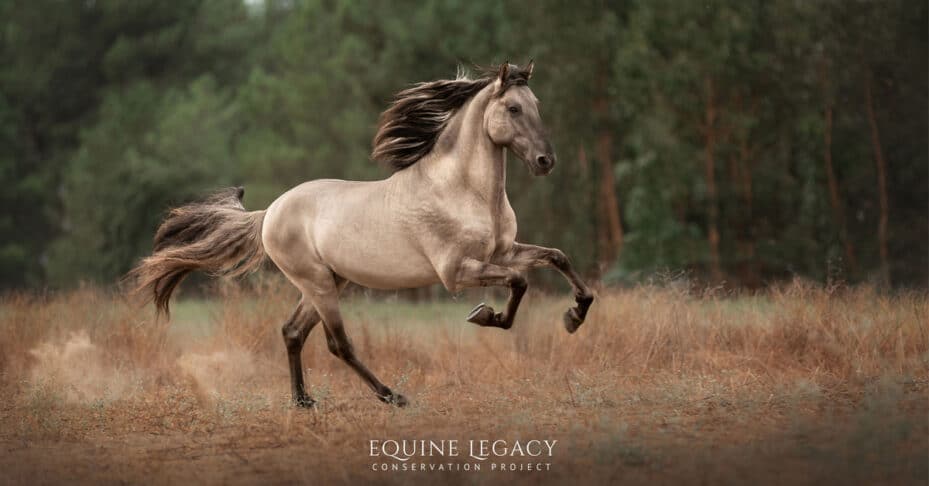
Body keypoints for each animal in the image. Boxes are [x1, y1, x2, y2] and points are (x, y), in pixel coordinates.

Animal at [130, 61, 595, 407]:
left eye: (536, 105)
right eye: (513, 109)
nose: (545, 161)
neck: (463, 190)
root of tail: (269, 213)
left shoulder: (503, 250)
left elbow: (557, 257)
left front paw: (574, 316)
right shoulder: (457, 271)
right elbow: (520, 281)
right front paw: (486, 316)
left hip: (329, 281)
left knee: (292, 331)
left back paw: (304, 402)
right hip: (319, 284)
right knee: (338, 344)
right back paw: (392, 396)